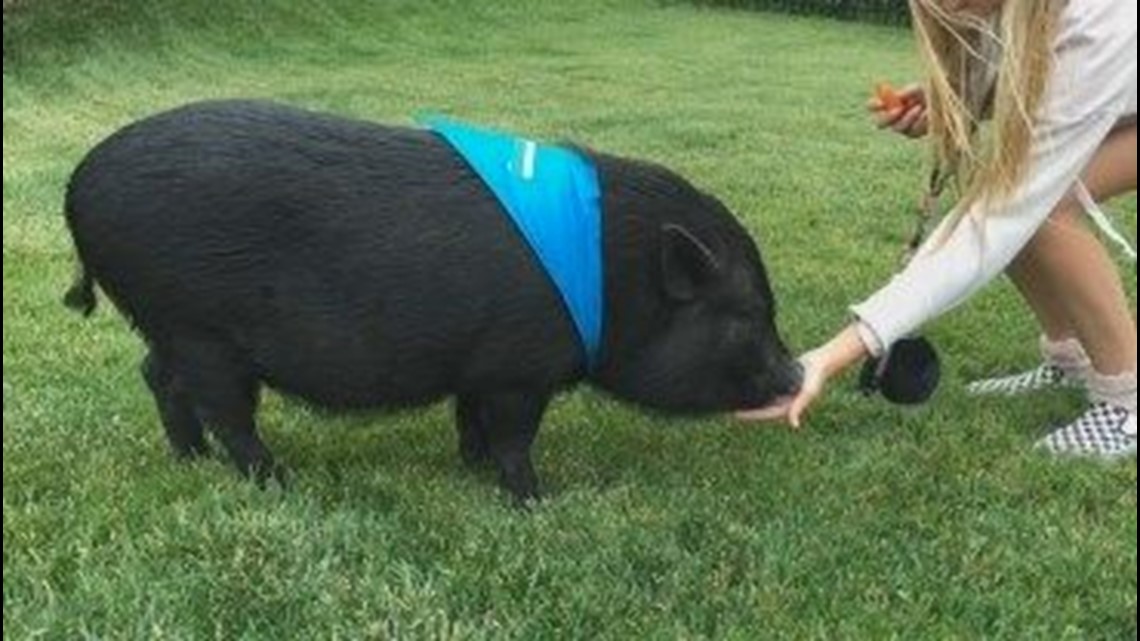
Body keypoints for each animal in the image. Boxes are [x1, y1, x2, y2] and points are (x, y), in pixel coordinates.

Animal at [63, 100, 801, 501]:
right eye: (746, 314)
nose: (795, 373)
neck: (606, 279)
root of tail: (78, 185)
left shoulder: (481, 367)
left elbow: (470, 424)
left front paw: (470, 470)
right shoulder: (518, 369)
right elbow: (513, 437)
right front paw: (537, 500)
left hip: (169, 326)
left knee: (158, 378)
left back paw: (191, 461)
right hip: (200, 329)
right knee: (225, 410)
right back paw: (278, 481)